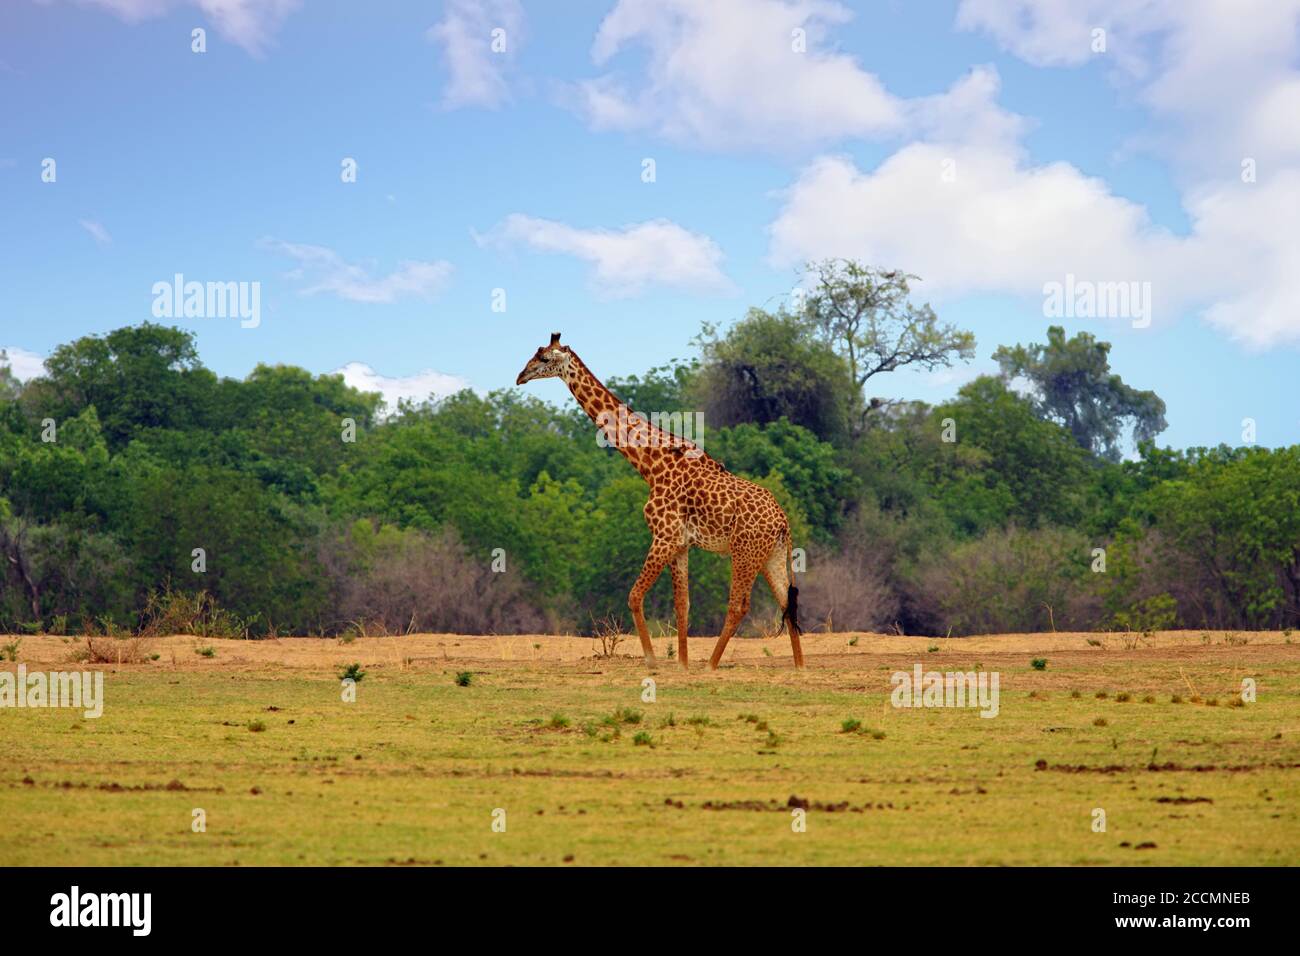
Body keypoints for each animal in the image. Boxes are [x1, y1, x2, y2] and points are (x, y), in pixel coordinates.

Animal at [516, 333, 804, 671]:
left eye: (545, 359)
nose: (520, 377)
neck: (651, 464)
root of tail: (782, 520)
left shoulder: (663, 536)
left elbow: (634, 596)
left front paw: (653, 660)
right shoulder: (680, 543)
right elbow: (682, 604)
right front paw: (681, 663)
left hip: (745, 551)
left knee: (739, 605)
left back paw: (711, 665)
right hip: (772, 554)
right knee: (786, 602)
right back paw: (799, 666)